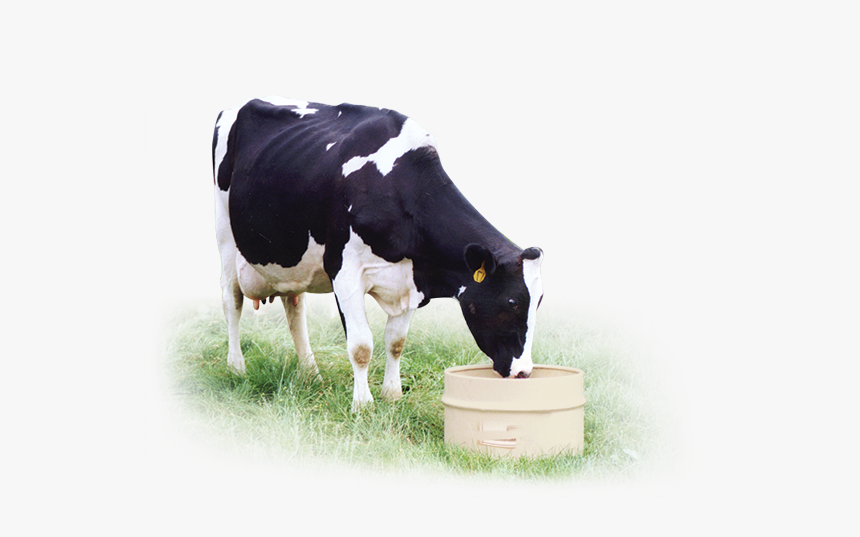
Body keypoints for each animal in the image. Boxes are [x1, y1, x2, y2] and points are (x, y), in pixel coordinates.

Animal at [212, 96, 544, 411]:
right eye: (512, 301)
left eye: (539, 301)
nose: (524, 372)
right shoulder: (344, 271)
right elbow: (361, 346)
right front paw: (363, 405)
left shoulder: (412, 277)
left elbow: (396, 341)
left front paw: (392, 395)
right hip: (226, 236)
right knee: (232, 301)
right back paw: (236, 367)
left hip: (291, 260)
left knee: (295, 309)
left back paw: (310, 372)